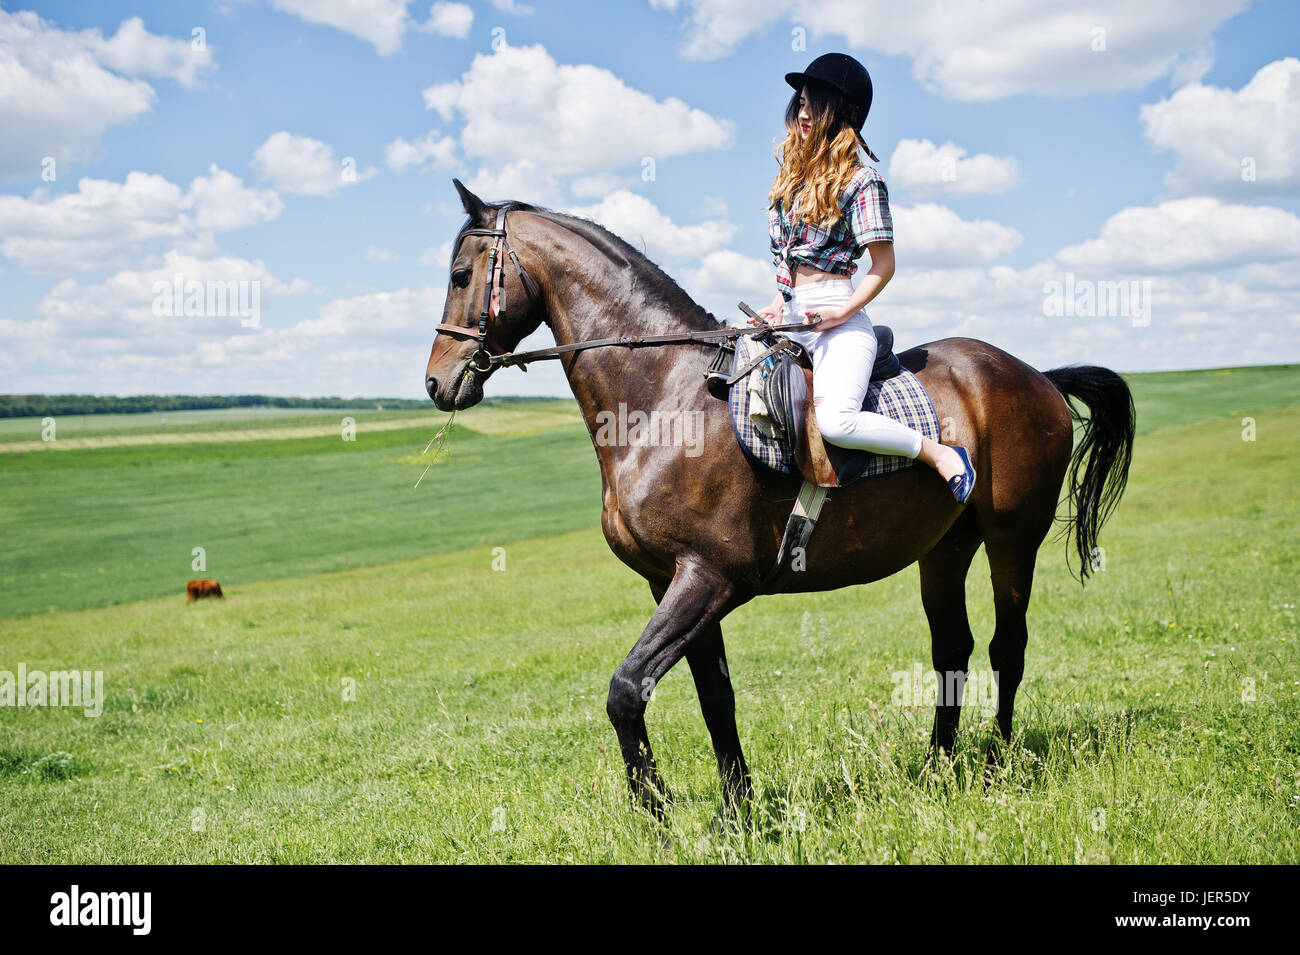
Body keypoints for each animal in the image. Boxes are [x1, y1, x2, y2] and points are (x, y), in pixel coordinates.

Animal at [425, 179, 1134, 819]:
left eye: (460, 274)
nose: (435, 382)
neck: (665, 399)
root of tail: (1035, 375)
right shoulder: (671, 582)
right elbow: (714, 696)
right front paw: (737, 811)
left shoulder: (709, 577)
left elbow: (626, 690)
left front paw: (656, 812)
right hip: (945, 549)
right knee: (952, 651)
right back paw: (938, 767)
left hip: (1013, 539)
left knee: (1005, 648)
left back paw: (995, 765)